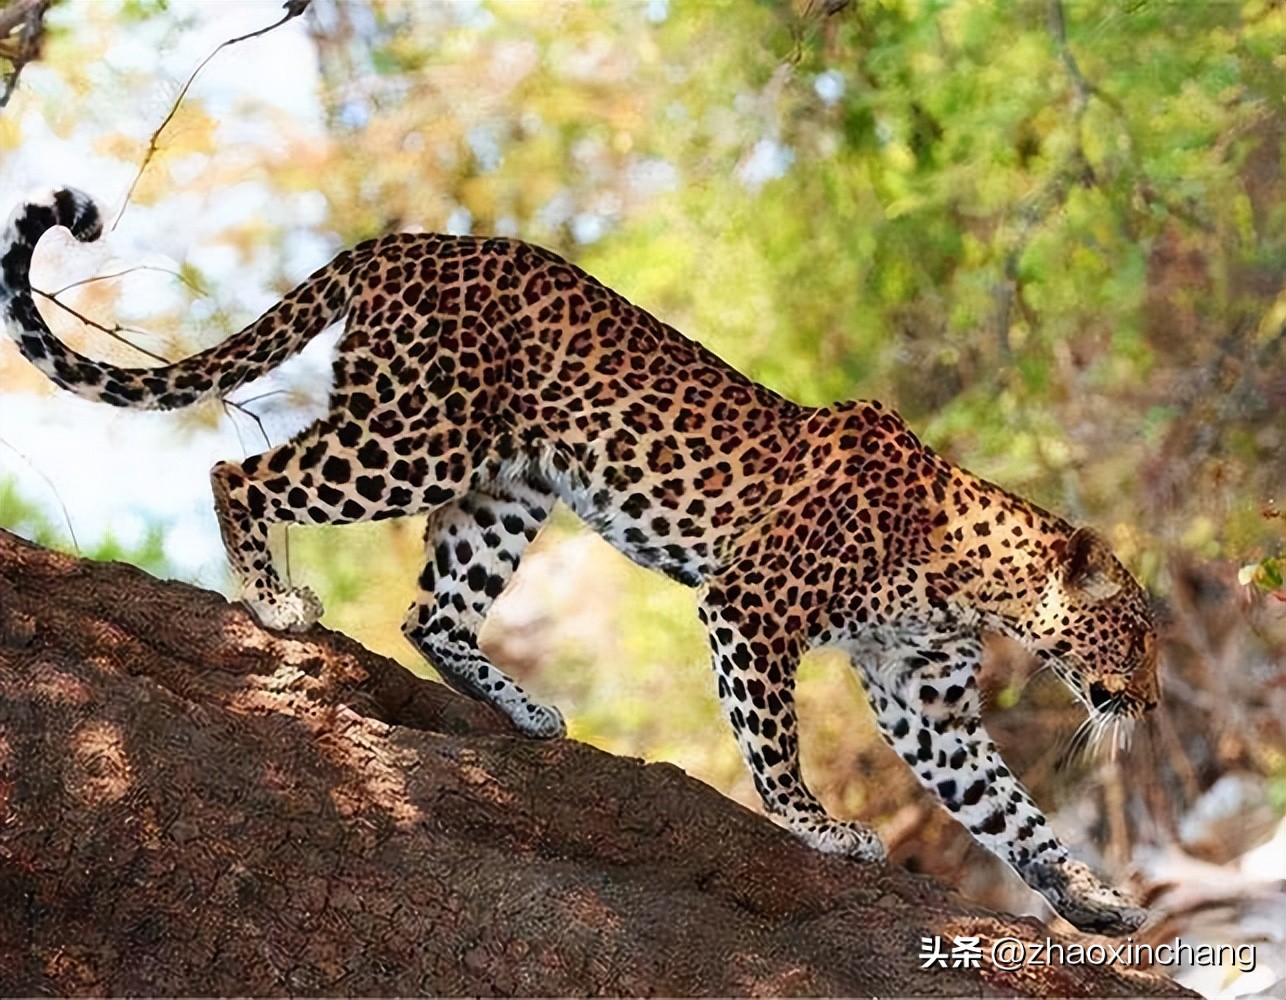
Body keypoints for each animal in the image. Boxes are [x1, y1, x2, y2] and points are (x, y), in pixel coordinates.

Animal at [2, 189, 1159, 934]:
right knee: (238, 468)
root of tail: (409, 241)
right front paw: (817, 828)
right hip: (410, 441)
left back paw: (522, 710)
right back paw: (274, 602)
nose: (1147, 703)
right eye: (1139, 633)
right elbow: (775, 740)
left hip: (506, 489)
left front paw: (1092, 897)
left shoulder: (927, 697)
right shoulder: (751, 608)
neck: (971, 583)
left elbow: (1005, 806)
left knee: (432, 614)